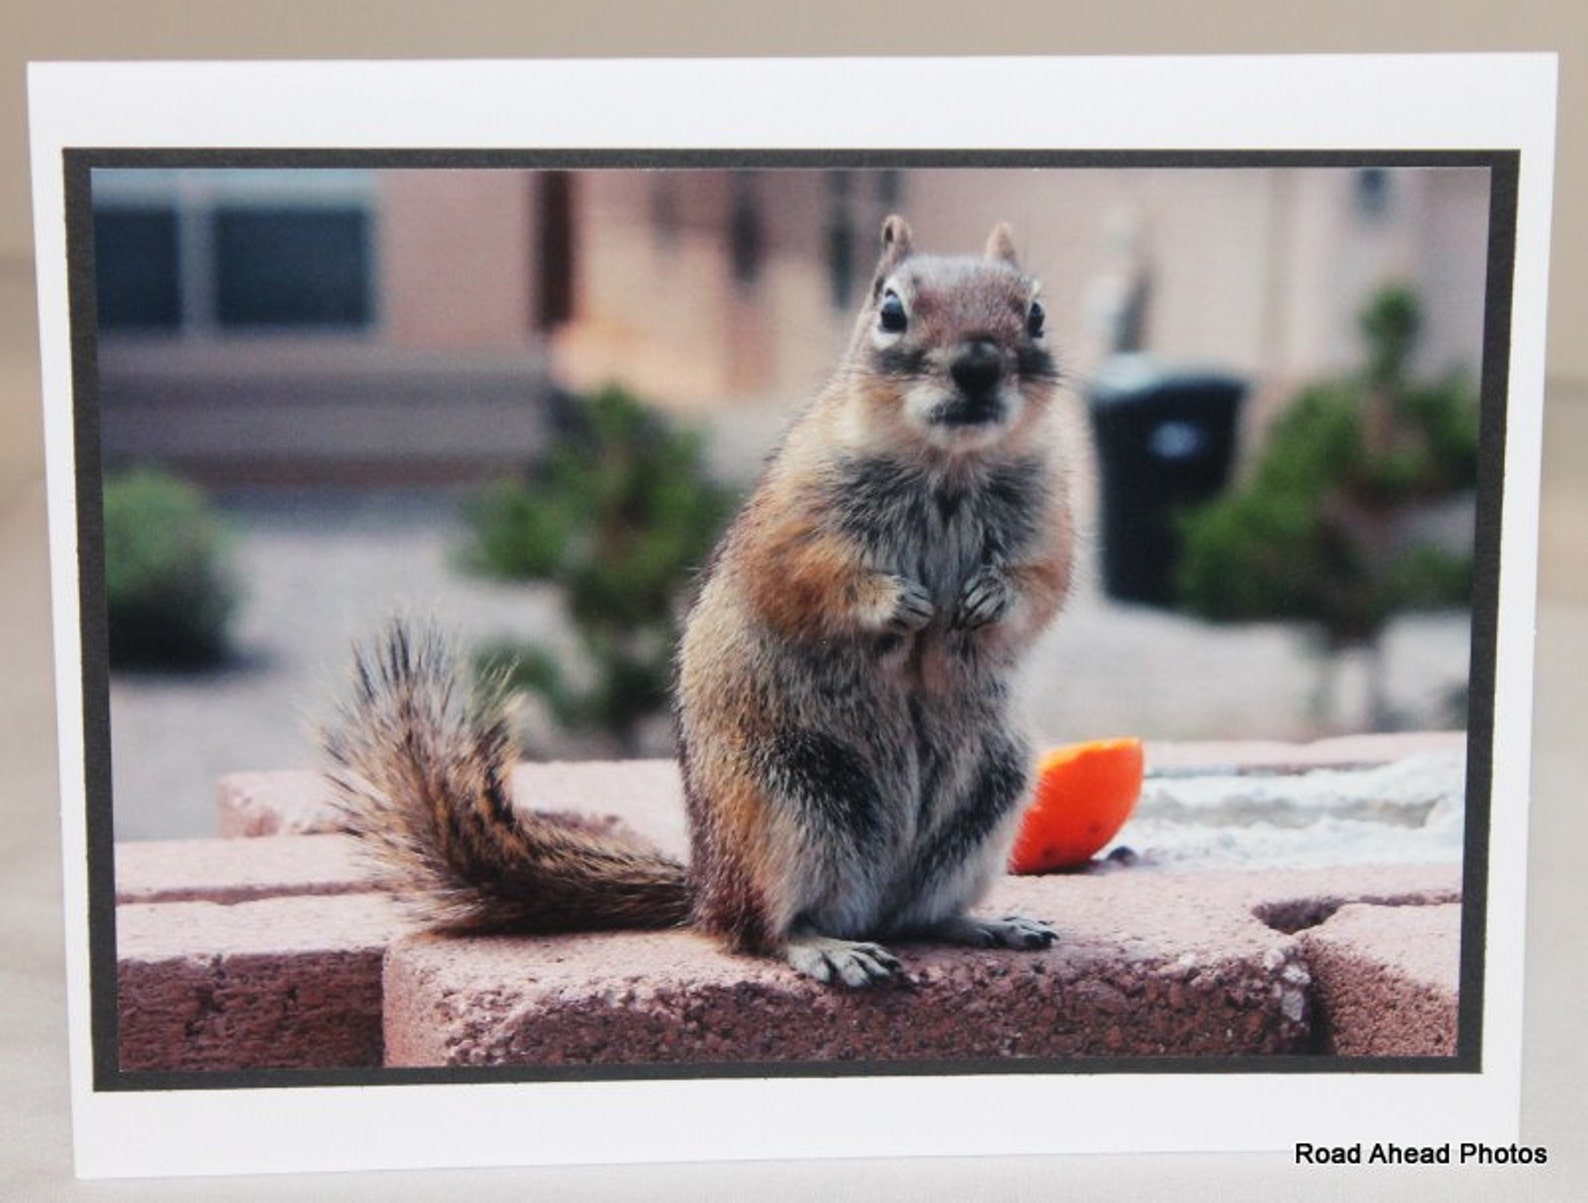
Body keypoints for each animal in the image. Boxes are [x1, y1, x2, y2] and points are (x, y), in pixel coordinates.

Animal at [322, 215, 1073, 989]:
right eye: (890, 310)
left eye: (1036, 313)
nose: (979, 364)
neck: (948, 464)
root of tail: (703, 888)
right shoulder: (792, 521)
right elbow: (814, 575)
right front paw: (897, 601)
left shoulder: (1051, 521)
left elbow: (1043, 583)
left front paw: (991, 596)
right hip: (787, 803)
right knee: (760, 929)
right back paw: (825, 945)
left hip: (988, 798)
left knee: (918, 913)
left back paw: (982, 922)